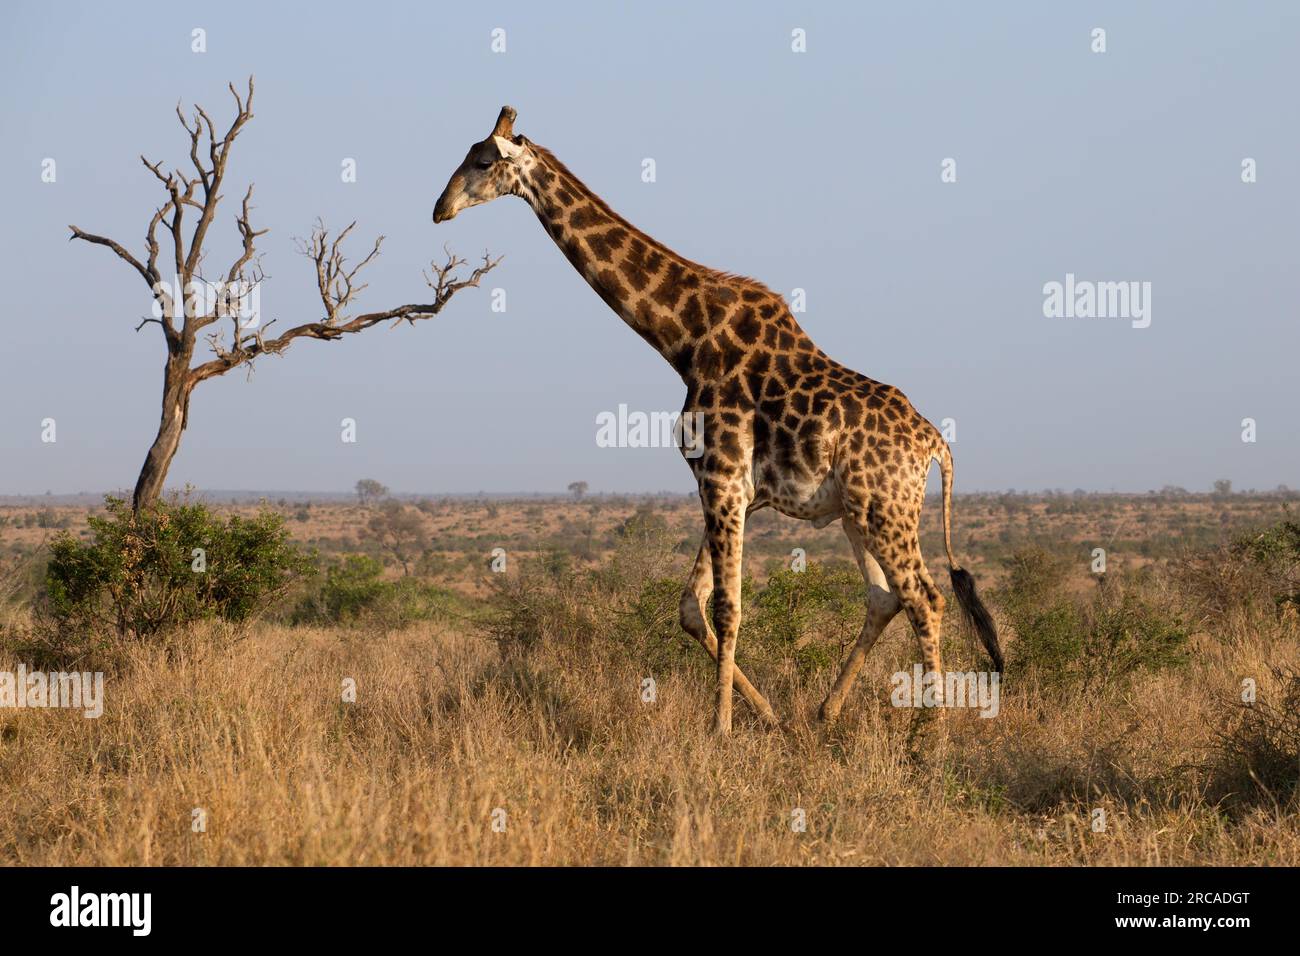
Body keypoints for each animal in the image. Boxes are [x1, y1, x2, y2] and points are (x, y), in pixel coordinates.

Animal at [433, 107, 1004, 735]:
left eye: (482, 160)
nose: (439, 208)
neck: (684, 338)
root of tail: (934, 444)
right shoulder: (730, 487)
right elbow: (691, 606)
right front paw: (768, 713)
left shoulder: (723, 477)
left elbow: (728, 607)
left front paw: (720, 726)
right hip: (860, 510)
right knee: (885, 597)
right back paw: (826, 712)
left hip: (887, 507)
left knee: (925, 597)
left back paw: (933, 733)